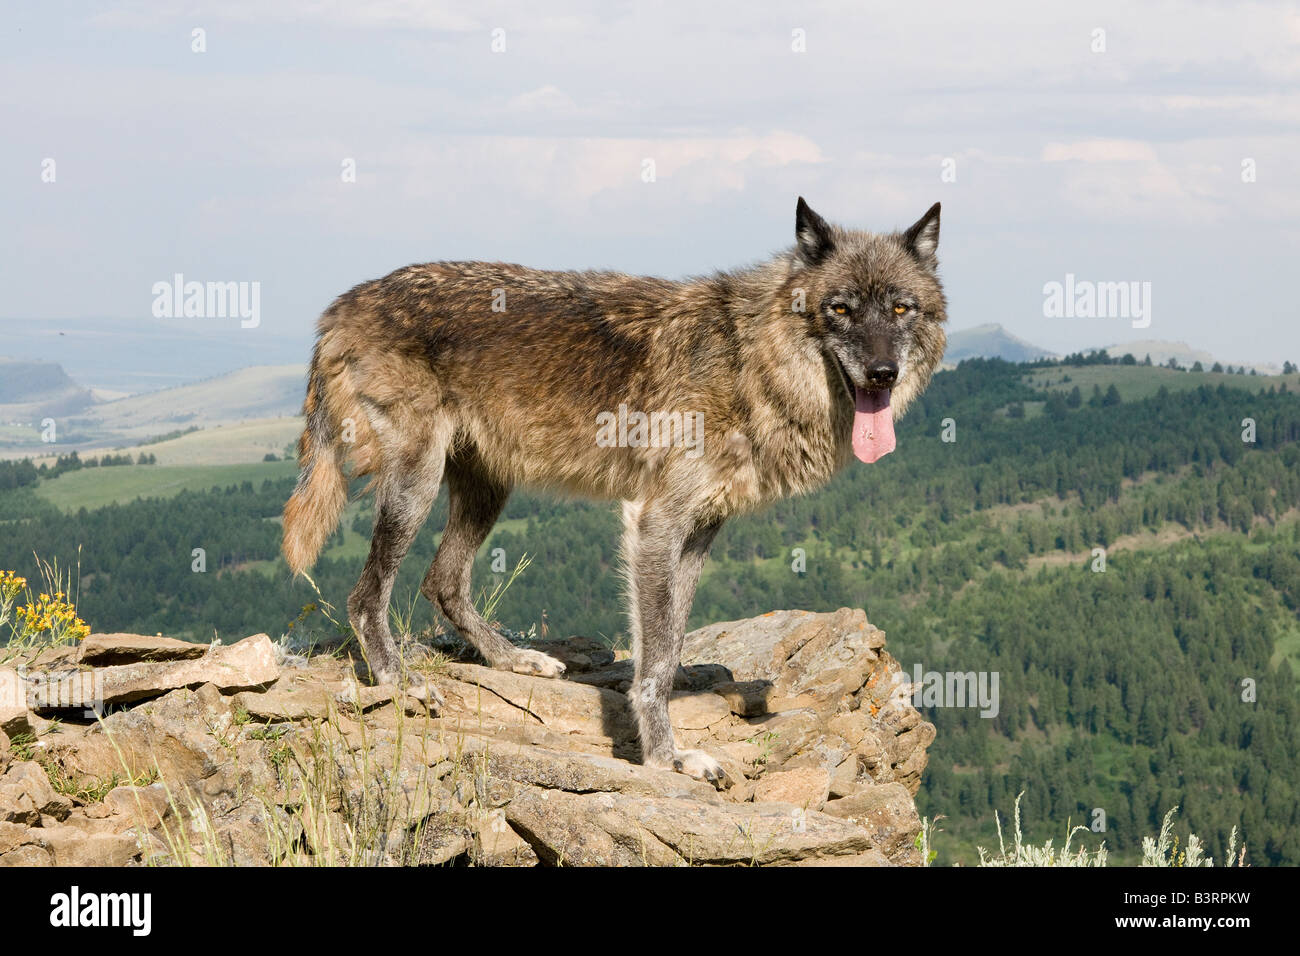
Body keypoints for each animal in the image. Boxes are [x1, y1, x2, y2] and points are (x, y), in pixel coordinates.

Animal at [282, 198, 947, 786]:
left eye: (901, 308)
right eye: (840, 308)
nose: (883, 373)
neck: (746, 359)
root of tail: (341, 304)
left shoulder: (698, 533)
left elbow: (670, 647)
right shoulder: (654, 523)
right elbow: (653, 664)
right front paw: (666, 759)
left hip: (488, 488)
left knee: (441, 580)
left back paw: (513, 660)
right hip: (417, 484)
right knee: (366, 596)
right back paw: (401, 686)